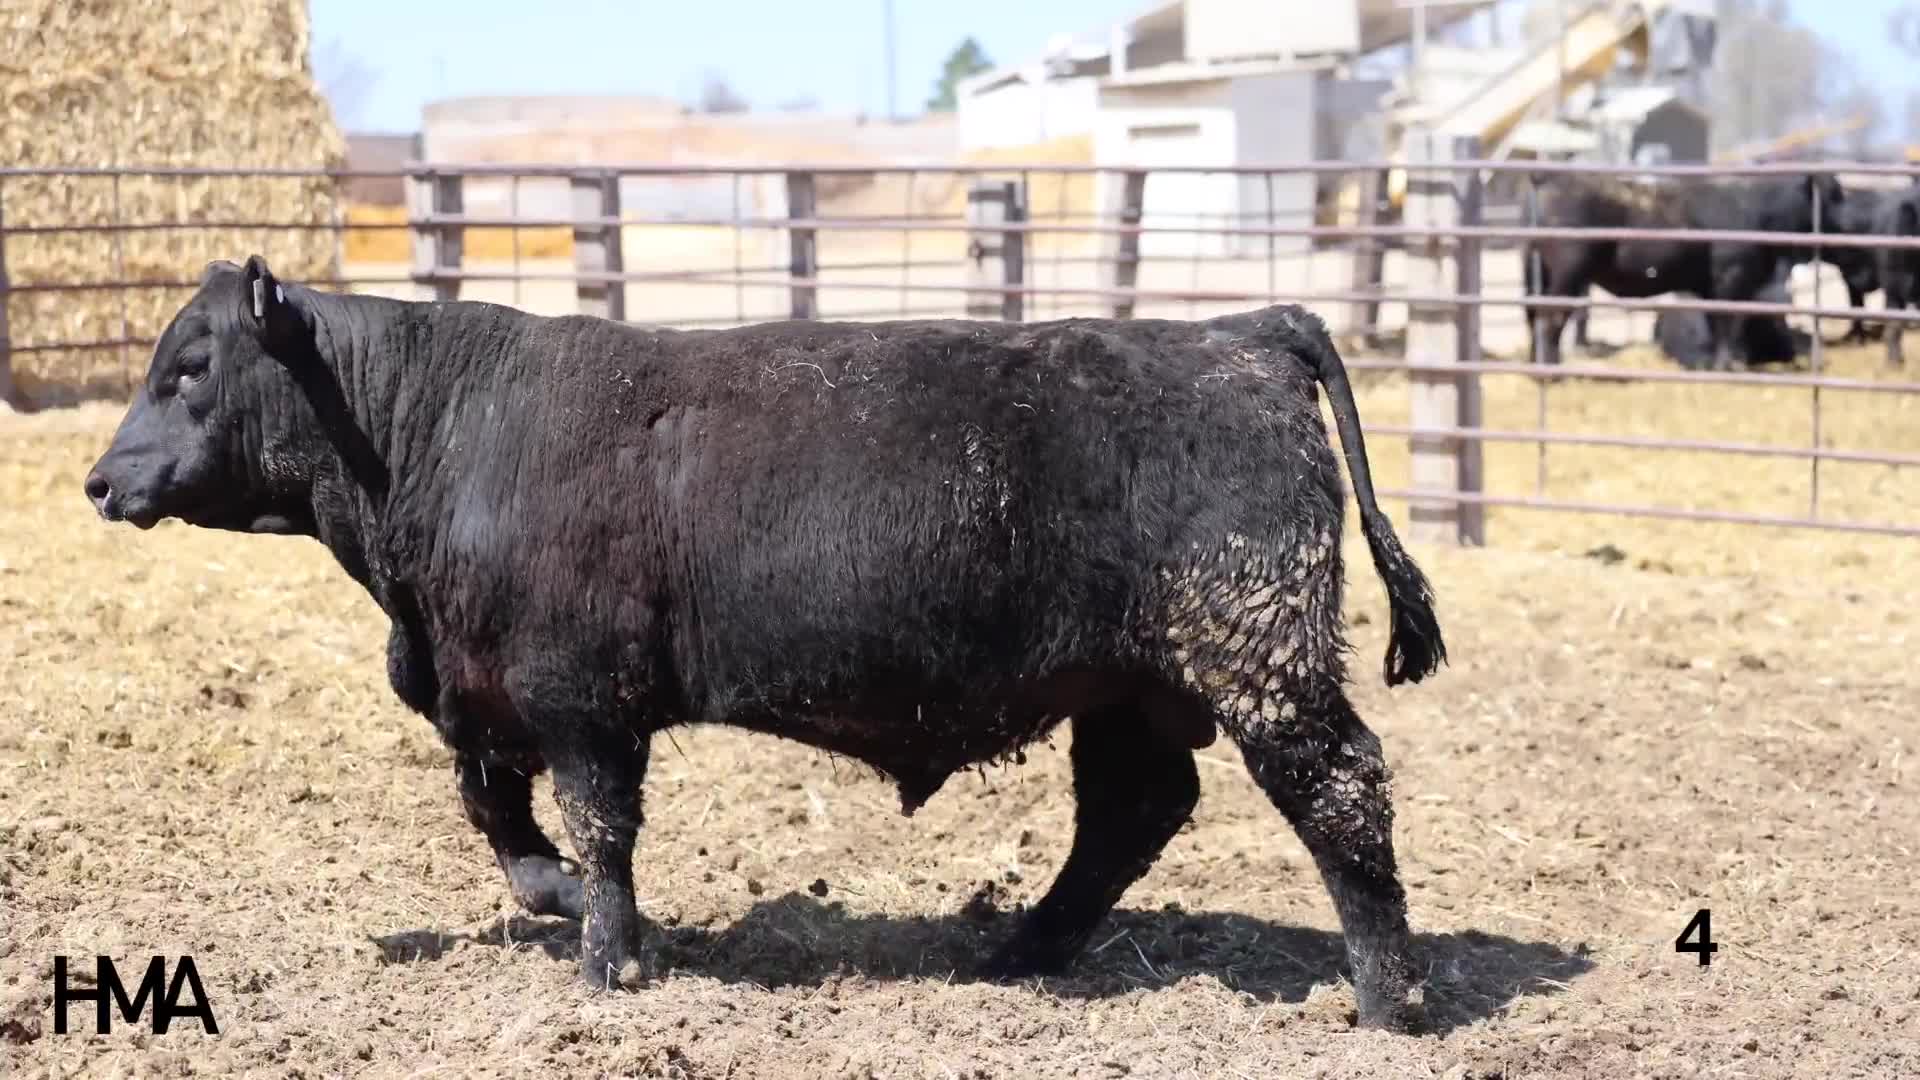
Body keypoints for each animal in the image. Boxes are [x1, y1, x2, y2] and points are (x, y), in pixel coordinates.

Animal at [84, 258, 1447, 1031]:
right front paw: (581, 914)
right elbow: (505, 828)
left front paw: (607, 966)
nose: (101, 480)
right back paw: (1021, 953)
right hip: (1127, 684)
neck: (443, 430)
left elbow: (597, 832)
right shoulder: (483, 698)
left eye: (190, 366)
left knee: (1343, 791)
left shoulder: (581, 701)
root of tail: (1237, 331)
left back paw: (1385, 1000)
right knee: (1132, 809)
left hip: (1259, 660)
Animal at [1524, 172, 1843, 369]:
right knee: (1550, 316)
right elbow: (1727, 323)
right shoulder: (1731, 278)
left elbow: (1716, 324)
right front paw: (1729, 365)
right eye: (1835, 195)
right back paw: (1551, 371)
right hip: (1568, 273)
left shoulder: (1711, 286)